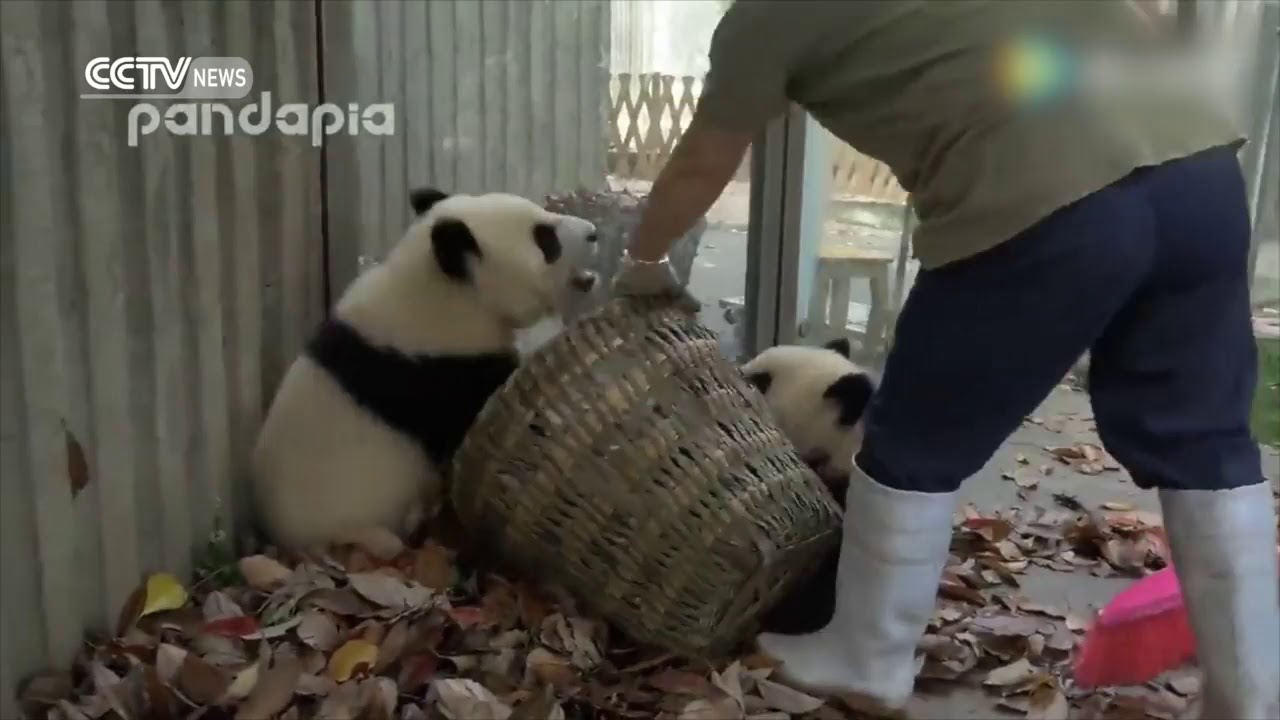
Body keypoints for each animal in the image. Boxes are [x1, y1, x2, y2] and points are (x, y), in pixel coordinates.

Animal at [251, 187, 599, 551]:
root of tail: (278, 537)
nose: (593, 233)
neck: (441, 288)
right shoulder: (443, 367)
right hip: (346, 518)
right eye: (545, 239)